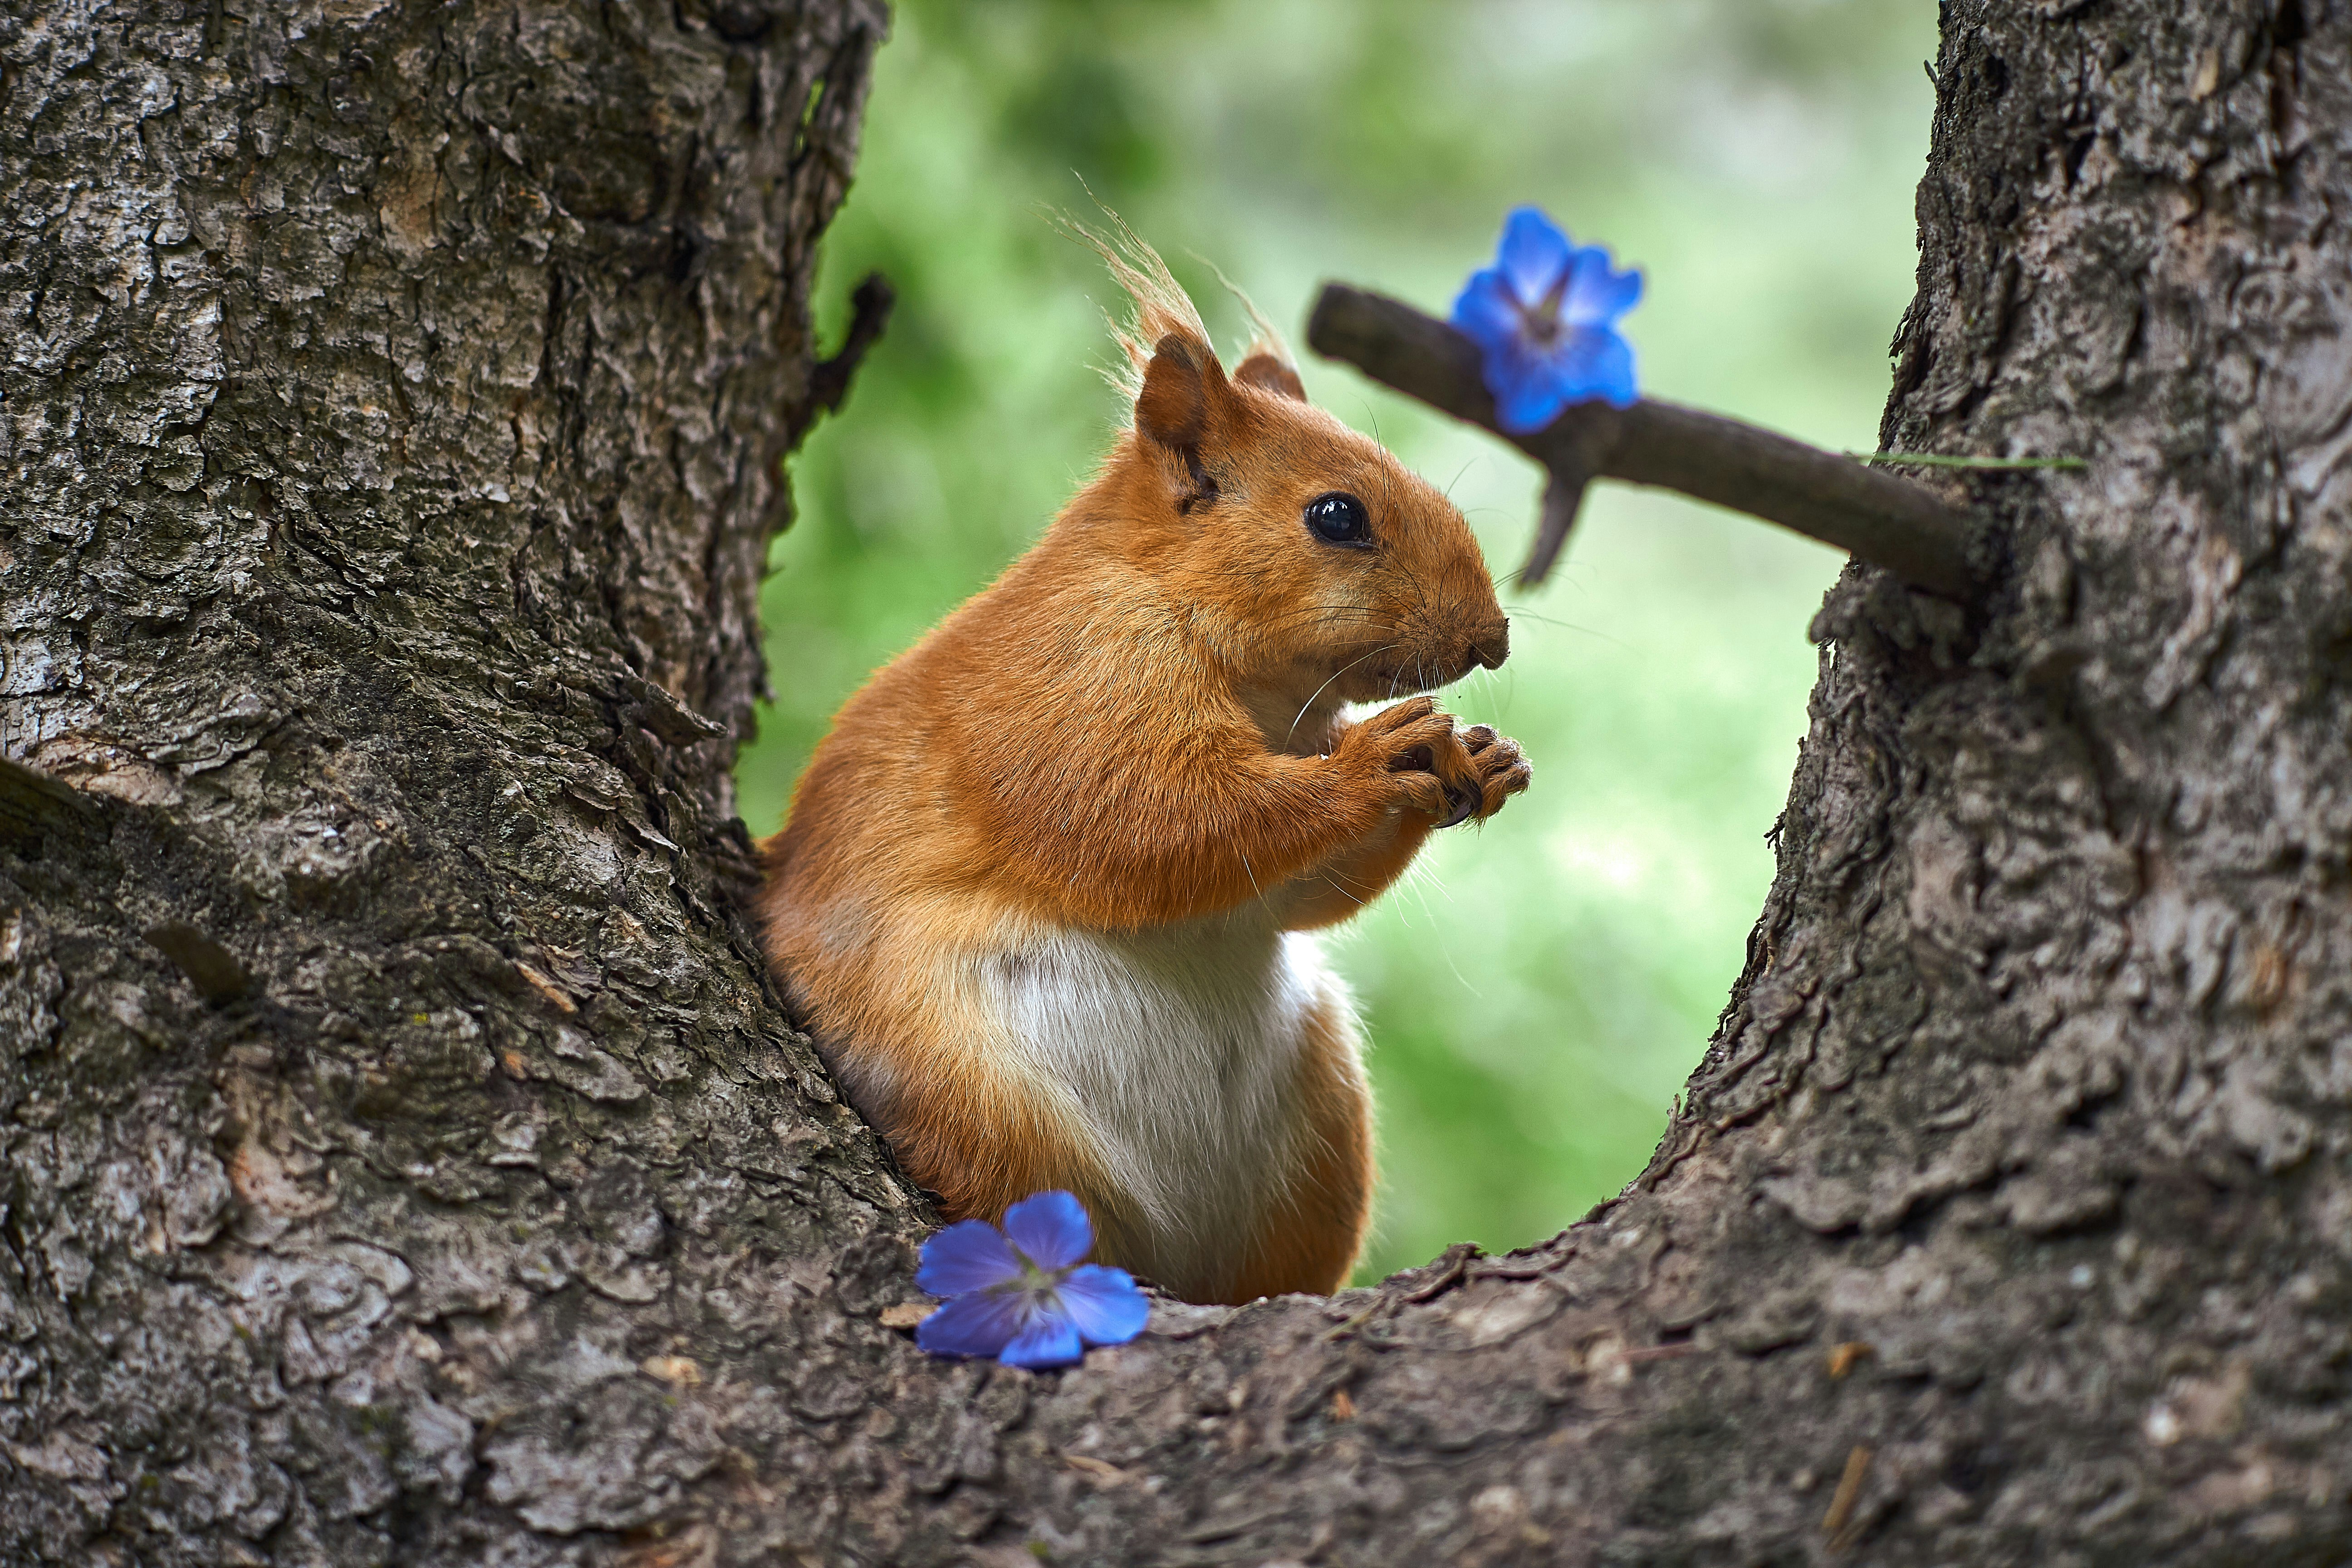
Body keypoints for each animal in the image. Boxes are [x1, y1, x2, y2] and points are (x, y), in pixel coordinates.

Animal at [758, 225, 1529, 1305]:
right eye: (1336, 516)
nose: (1494, 638)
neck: (1253, 680)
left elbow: (1290, 898)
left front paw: (1482, 760)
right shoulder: (1068, 693)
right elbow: (1155, 826)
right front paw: (1377, 762)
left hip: (1323, 1116)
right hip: (976, 1099)